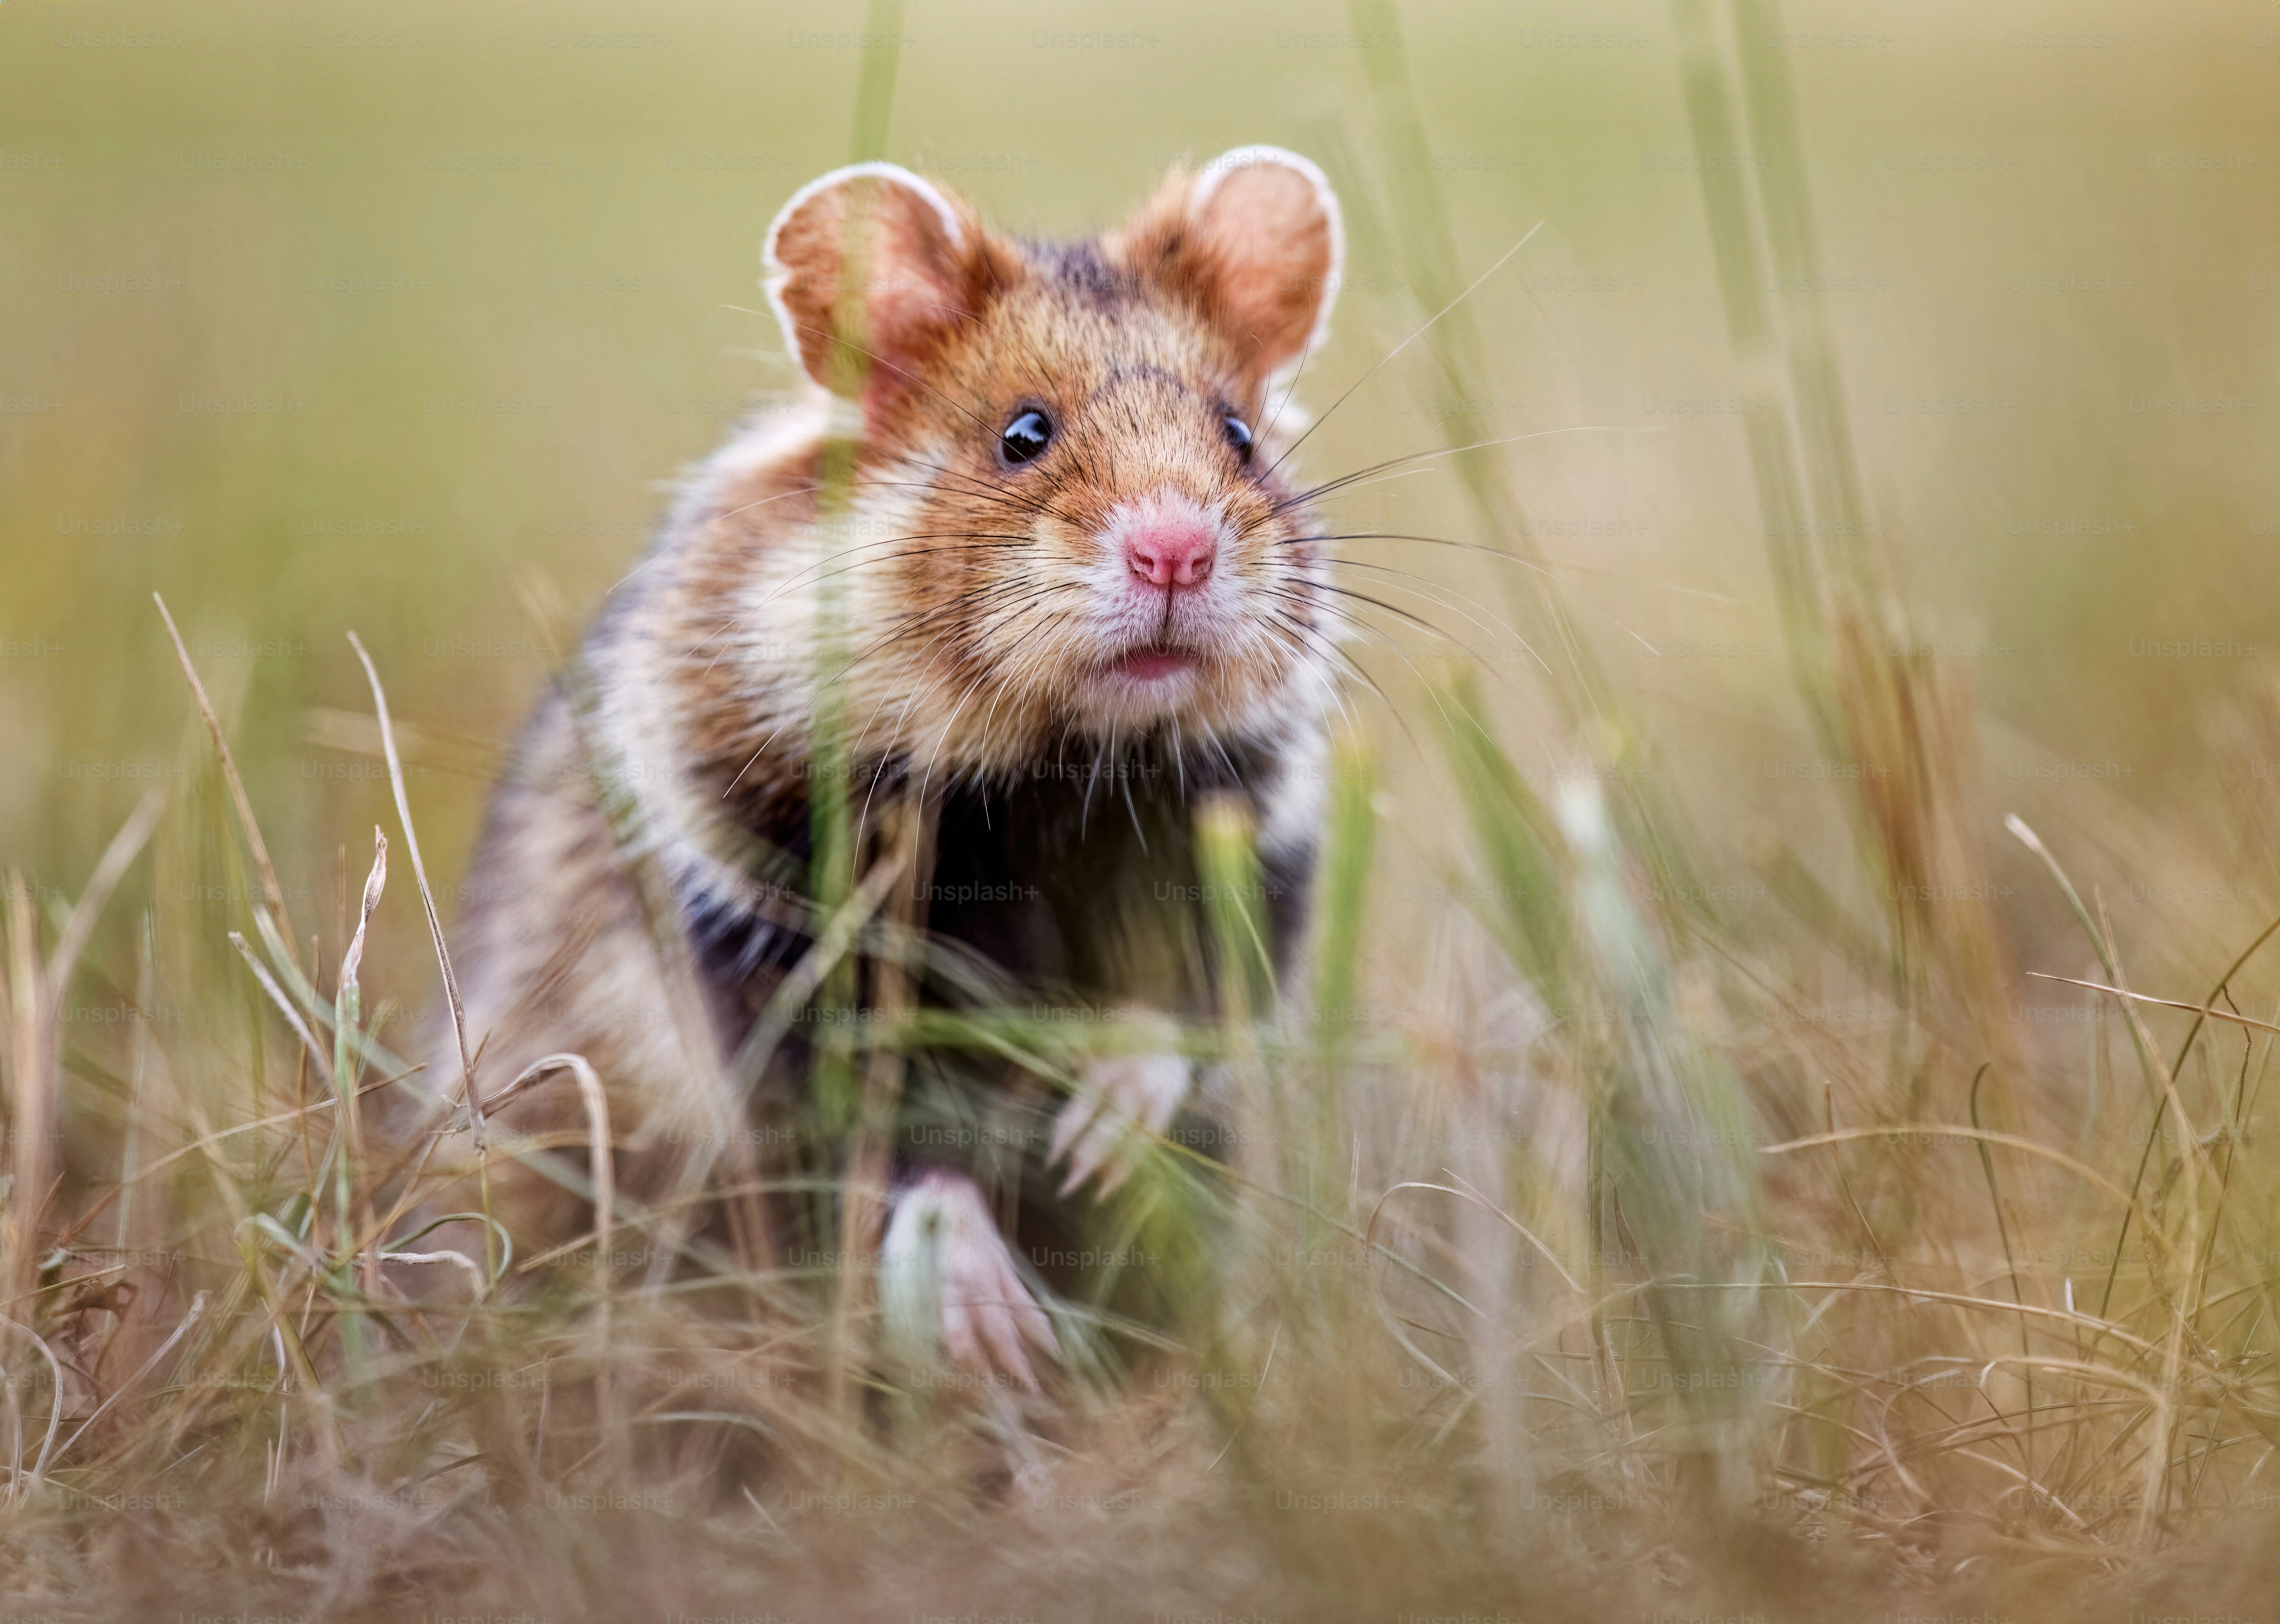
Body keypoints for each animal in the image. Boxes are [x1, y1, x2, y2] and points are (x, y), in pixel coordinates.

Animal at [417, 147, 1346, 1387]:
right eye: (1022, 434)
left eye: (1239, 434)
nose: (1176, 552)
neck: (1056, 768)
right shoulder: (757, 918)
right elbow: (879, 1132)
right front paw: (994, 1329)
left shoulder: (1258, 852)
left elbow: (1185, 1004)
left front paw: (1096, 1138)